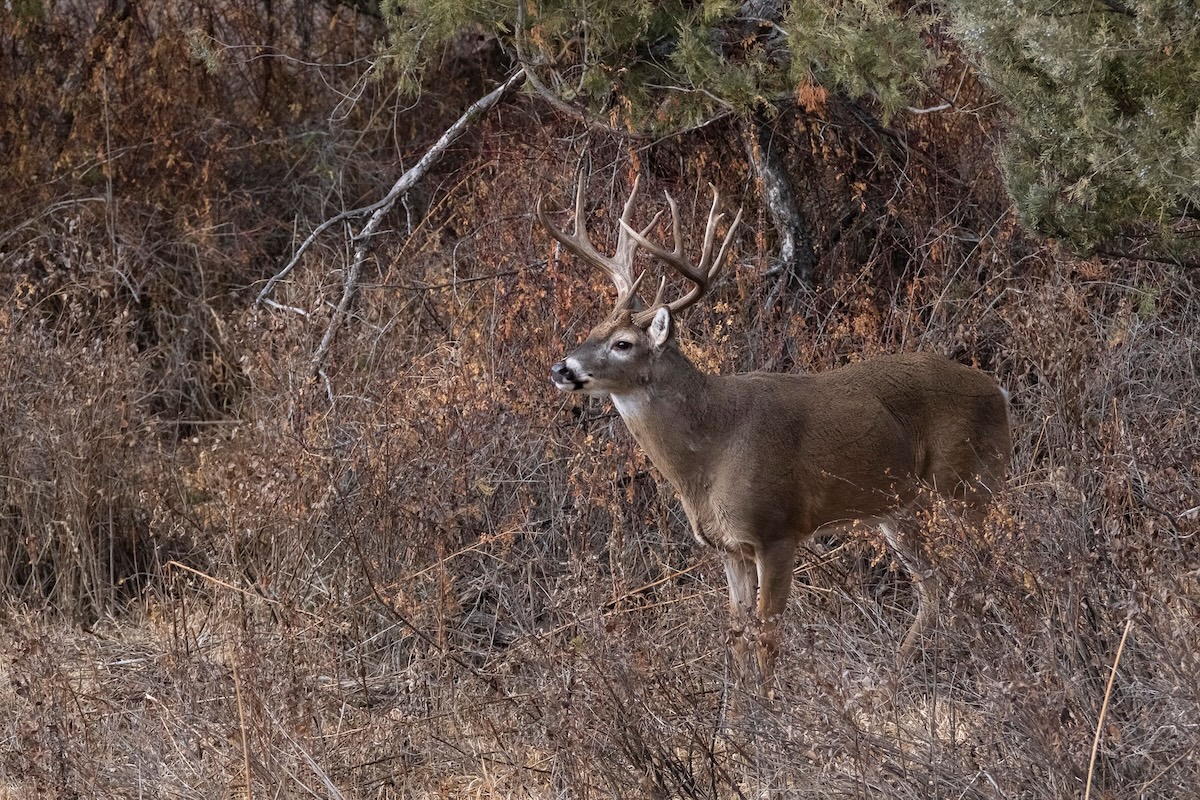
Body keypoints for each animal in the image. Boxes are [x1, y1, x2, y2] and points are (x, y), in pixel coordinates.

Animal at [540, 174, 1011, 690]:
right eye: (592, 329)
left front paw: (767, 708)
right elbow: (737, 637)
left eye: (623, 344)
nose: (562, 368)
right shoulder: (728, 548)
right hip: (898, 509)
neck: (710, 456)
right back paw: (892, 679)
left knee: (985, 569)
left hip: (969, 485)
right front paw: (737, 710)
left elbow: (766, 637)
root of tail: (1000, 392)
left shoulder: (777, 530)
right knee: (935, 584)